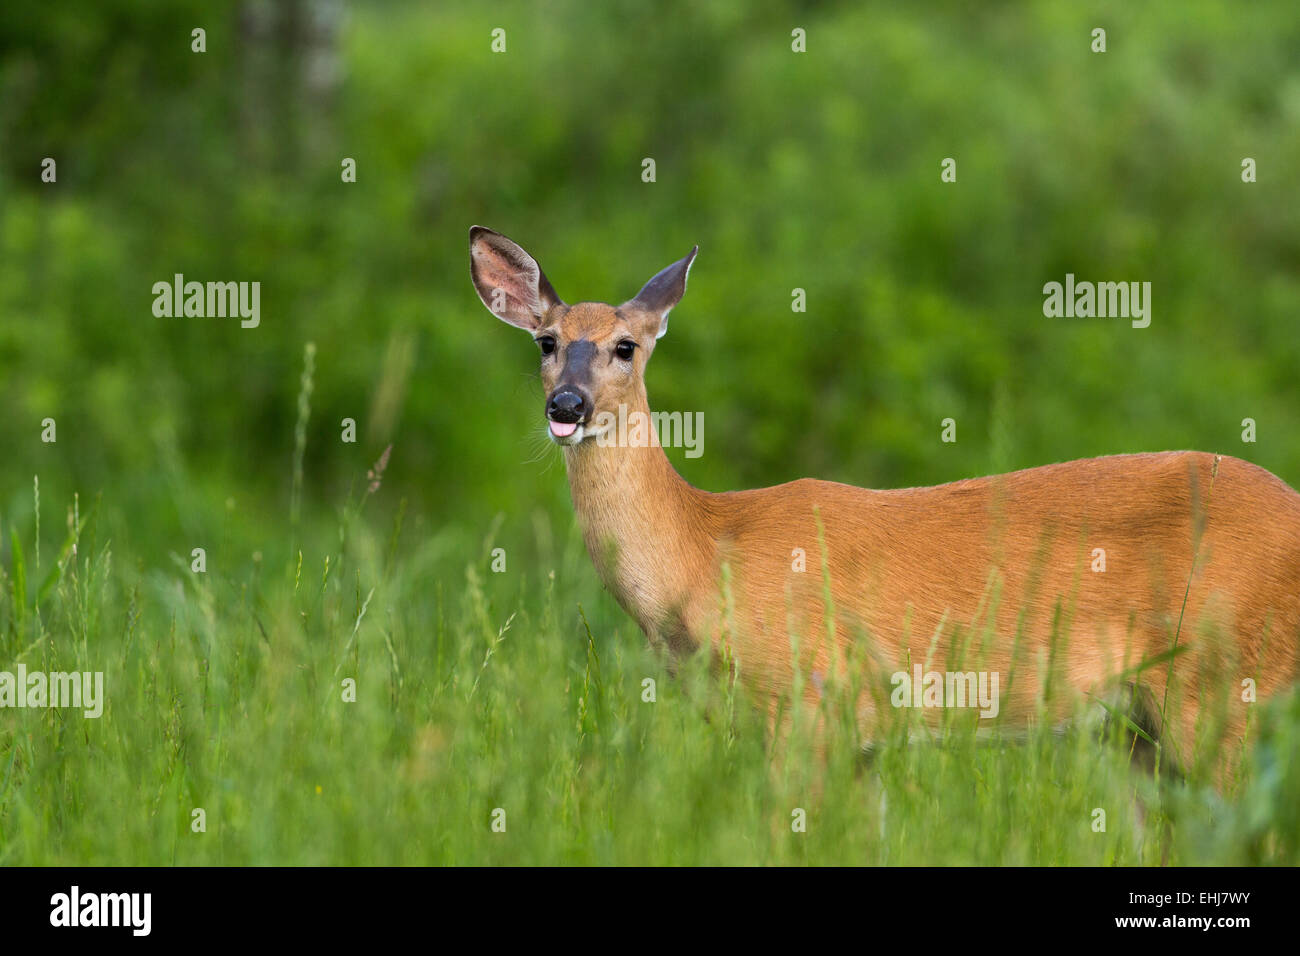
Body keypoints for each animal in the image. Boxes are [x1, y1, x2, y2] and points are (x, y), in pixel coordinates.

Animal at [469, 225, 1300, 786]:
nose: (567, 406)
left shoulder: (806, 705)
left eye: (625, 346)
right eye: (545, 341)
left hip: (1227, 689)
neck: (705, 550)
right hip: (1140, 730)